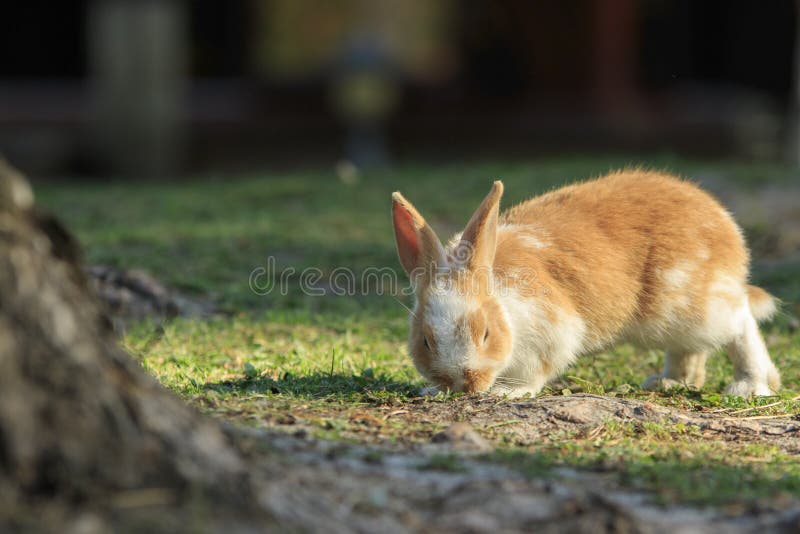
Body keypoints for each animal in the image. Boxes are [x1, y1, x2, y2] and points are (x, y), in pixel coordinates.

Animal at [391, 169, 781, 398]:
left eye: (485, 334)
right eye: (425, 341)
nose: (464, 384)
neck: (501, 302)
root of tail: (725, 225)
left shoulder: (551, 332)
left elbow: (535, 375)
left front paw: (507, 393)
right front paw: (431, 392)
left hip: (691, 306)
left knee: (741, 323)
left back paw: (751, 386)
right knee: (691, 347)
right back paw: (670, 382)